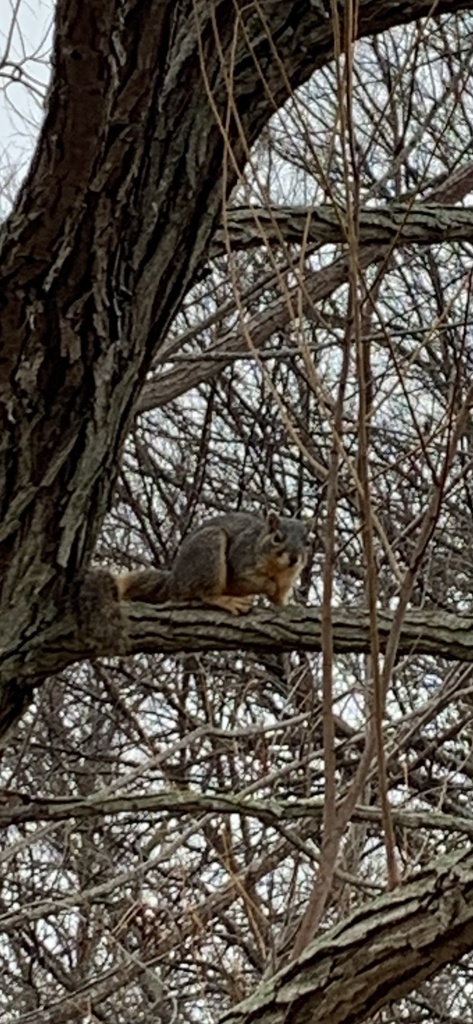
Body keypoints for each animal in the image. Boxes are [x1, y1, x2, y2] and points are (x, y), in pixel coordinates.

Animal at [115, 511, 312, 615]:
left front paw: (289, 605)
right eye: (277, 538)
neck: (278, 569)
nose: (294, 558)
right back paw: (228, 601)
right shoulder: (242, 562)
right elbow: (253, 581)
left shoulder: (287, 581)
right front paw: (269, 586)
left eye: (307, 542)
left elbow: (279, 598)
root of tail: (174, 581)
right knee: (207, 594)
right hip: (210, 550)